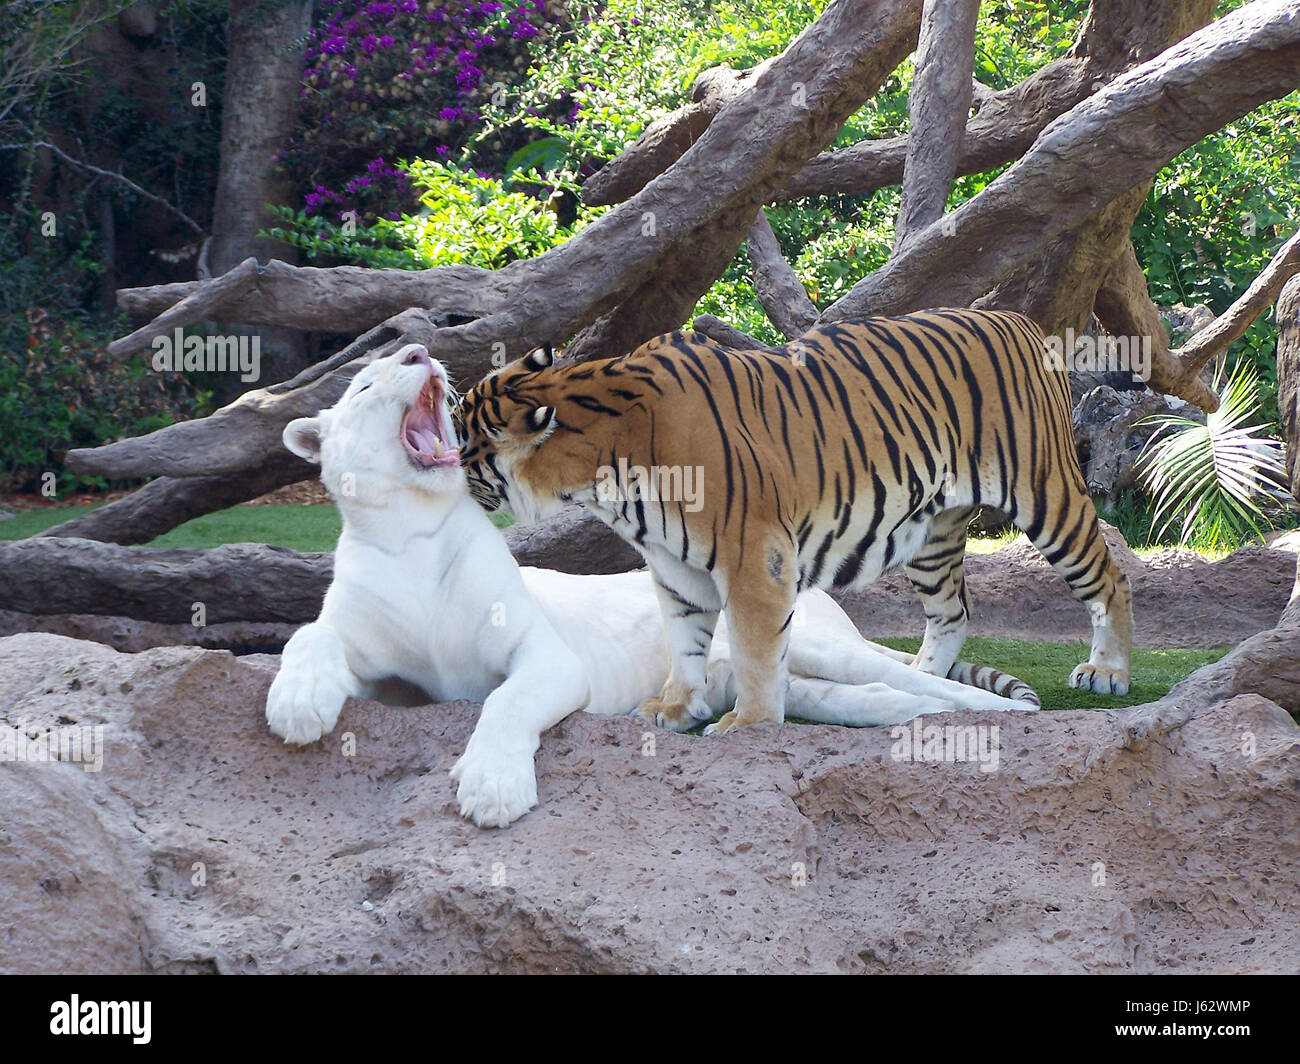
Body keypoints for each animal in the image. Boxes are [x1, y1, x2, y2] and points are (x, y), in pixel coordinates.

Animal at [456, 309, 1133, 735]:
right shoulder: (675, 567)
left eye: (462, 434)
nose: (441, 462)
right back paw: (921, 673)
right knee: (952, 612)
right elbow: (686, 641)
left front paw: (749, 721)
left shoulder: (754, 555)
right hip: (932, 533)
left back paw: (1107, 673)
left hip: (1046, 491)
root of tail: (1017, 320)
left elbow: (755, 649)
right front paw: (675, 708)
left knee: (1109, 578)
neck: (600, 476)